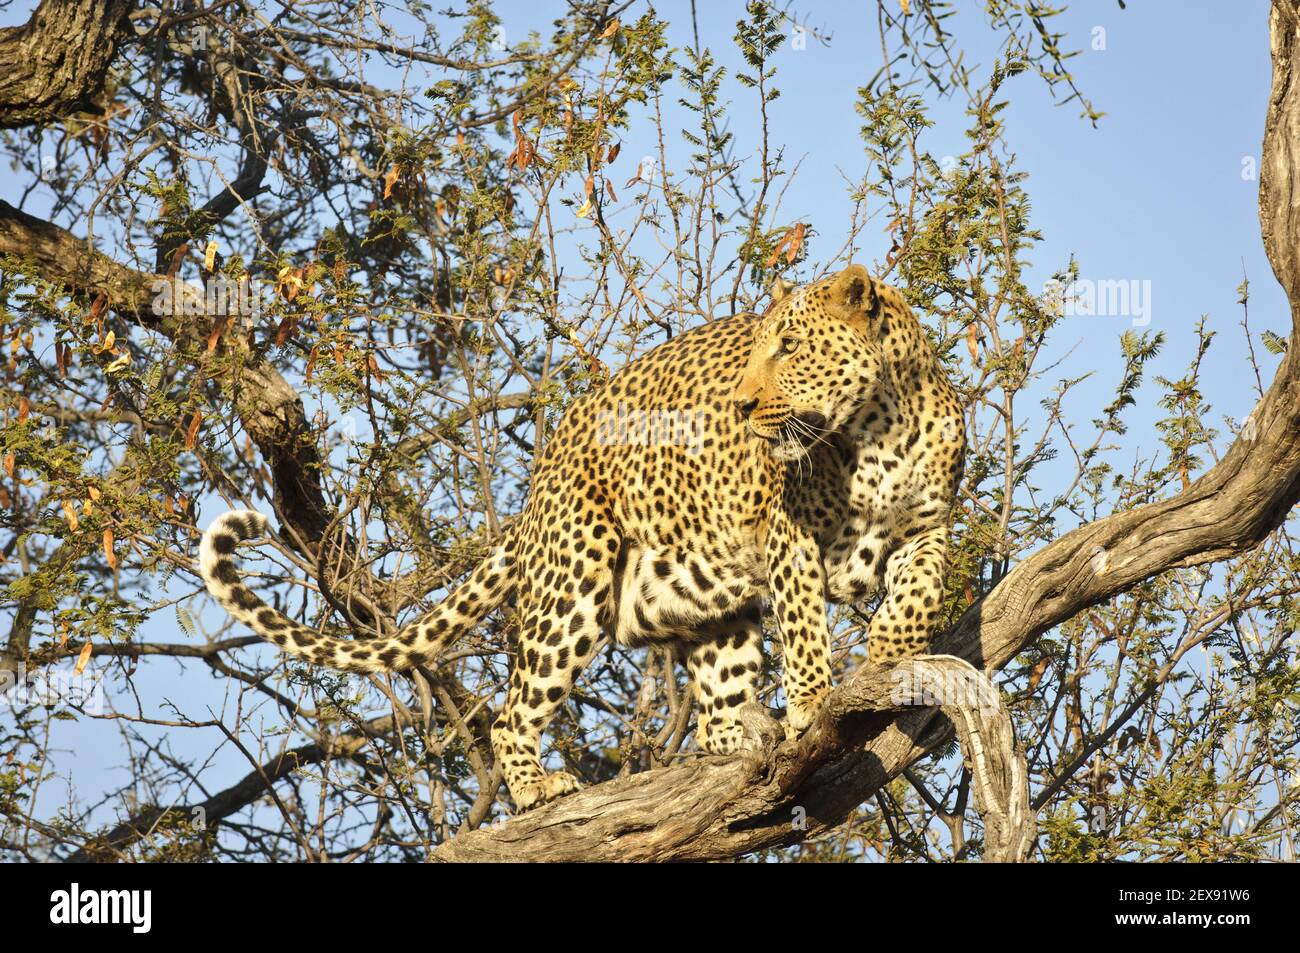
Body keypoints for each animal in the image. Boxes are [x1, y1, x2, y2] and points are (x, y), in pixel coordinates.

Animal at [199, 264, 966, 812]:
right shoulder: (790, 536)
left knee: (716, 698)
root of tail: (547, 464)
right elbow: (806, 626)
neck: (877, 429)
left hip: (709, 600)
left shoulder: (928, 526)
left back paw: (734, 750)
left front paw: (892, 650)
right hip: (576, 580)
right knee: (513, 710)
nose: (745, 405)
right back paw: (539, 787)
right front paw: (811, 702)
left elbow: (924, 583)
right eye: (760, 349)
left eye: (793, 347)